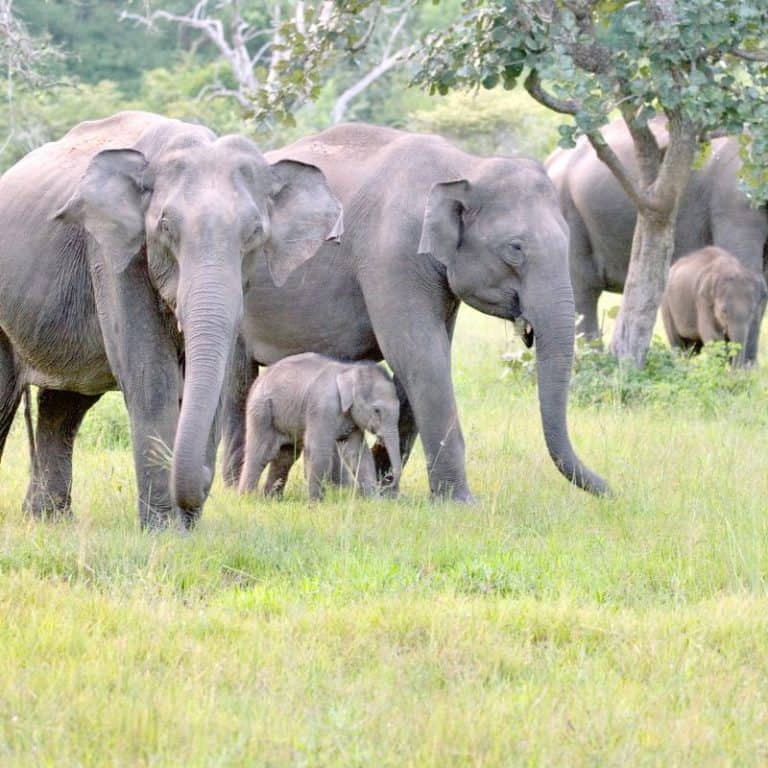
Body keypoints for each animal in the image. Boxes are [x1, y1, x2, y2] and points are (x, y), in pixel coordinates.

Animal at [0, 111, 342, 528]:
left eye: (255, 233)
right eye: (165, 227)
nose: (208, 479)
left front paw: (187, 530)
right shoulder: (114, 254)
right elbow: (151, 377)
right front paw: (163, 530)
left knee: (64, 406)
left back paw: (48, 520)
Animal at [238, 353, 401, 500]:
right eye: (377, 410)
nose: (388, 483)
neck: (350, 369)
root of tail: (259, 380)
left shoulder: (353, 419)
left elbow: (357, 453)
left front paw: (374, 501)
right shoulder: (323, 408)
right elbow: (318, 448)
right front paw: (315, 504)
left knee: (286, 456)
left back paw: (271, 499)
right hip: (262, 411)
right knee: (262, 453)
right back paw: (248, 498)